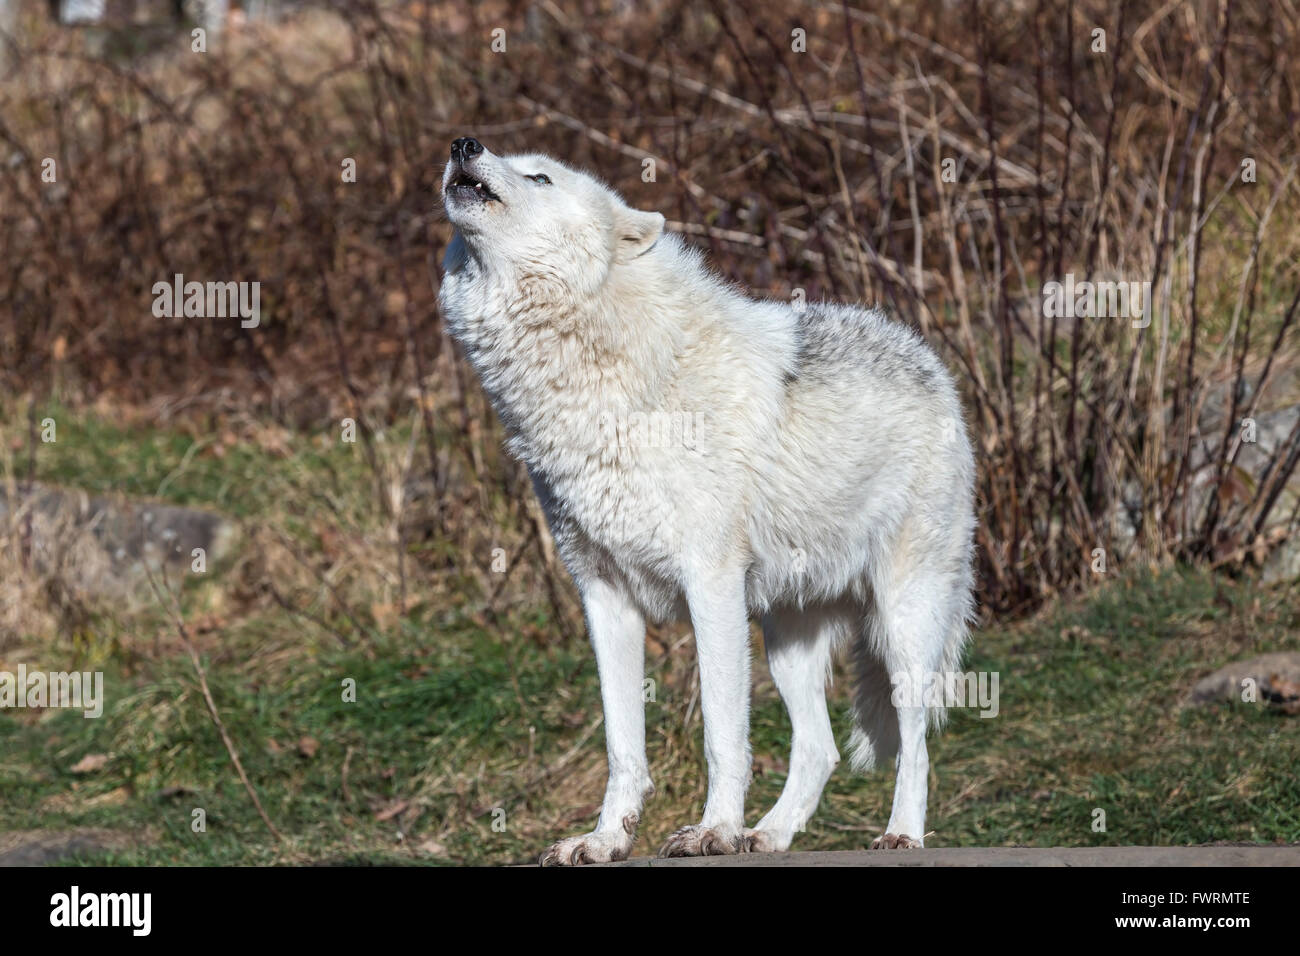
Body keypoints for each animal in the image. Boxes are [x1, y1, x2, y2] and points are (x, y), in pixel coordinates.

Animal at [437, 136, 976, 865]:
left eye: (539, 177)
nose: (463, 144)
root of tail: (925, 354)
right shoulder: (603, 595)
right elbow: (622, 745)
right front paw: (606, 839)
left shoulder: (711, 584)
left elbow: (723, 733)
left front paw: (711, 829)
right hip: (786, 638)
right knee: (821, 749)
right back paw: (768, 835)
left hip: (903, 620)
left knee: (915, 739)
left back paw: (900, 834)